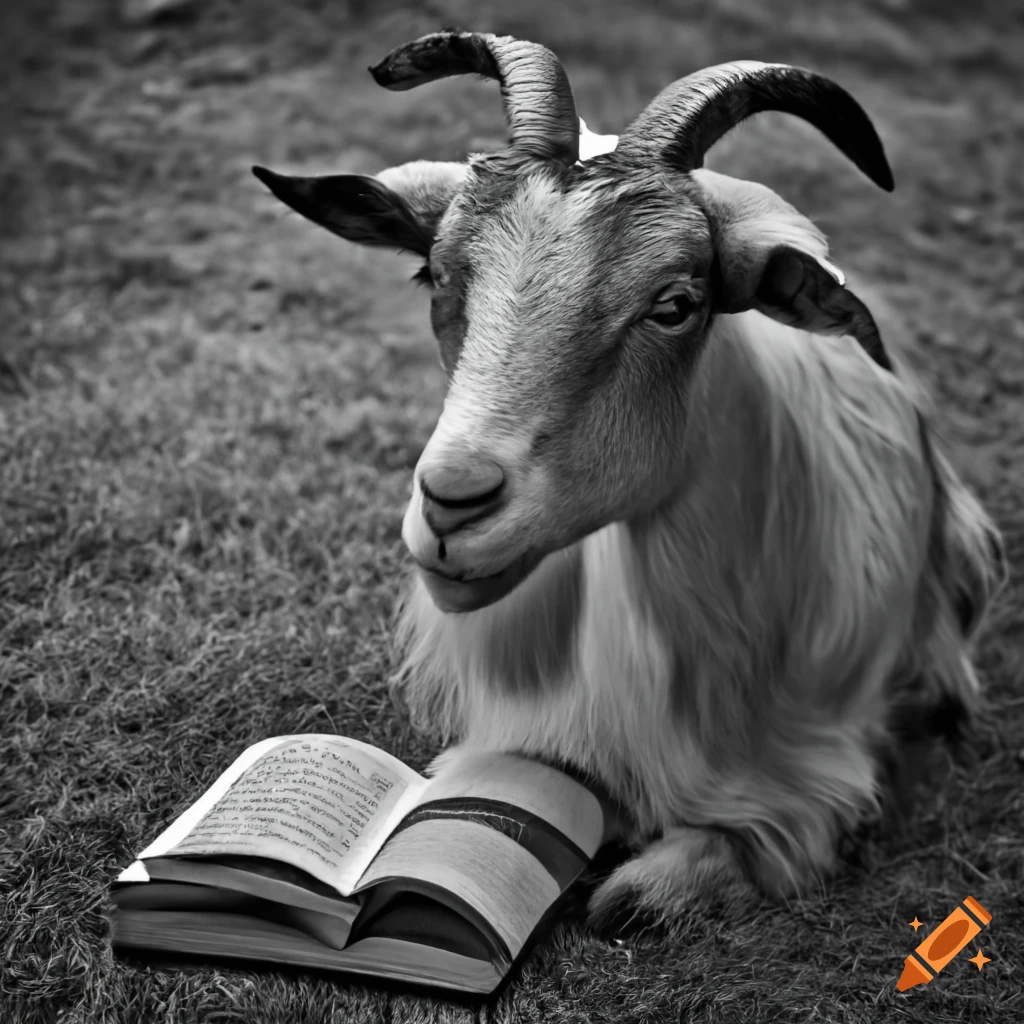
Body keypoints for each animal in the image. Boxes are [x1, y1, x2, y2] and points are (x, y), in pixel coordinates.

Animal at [253, 31, 1007, 928]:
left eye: (675, 304)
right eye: (433, 276)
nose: (453, 505)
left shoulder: (818, 770)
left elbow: (670, 884)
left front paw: (634, 885)